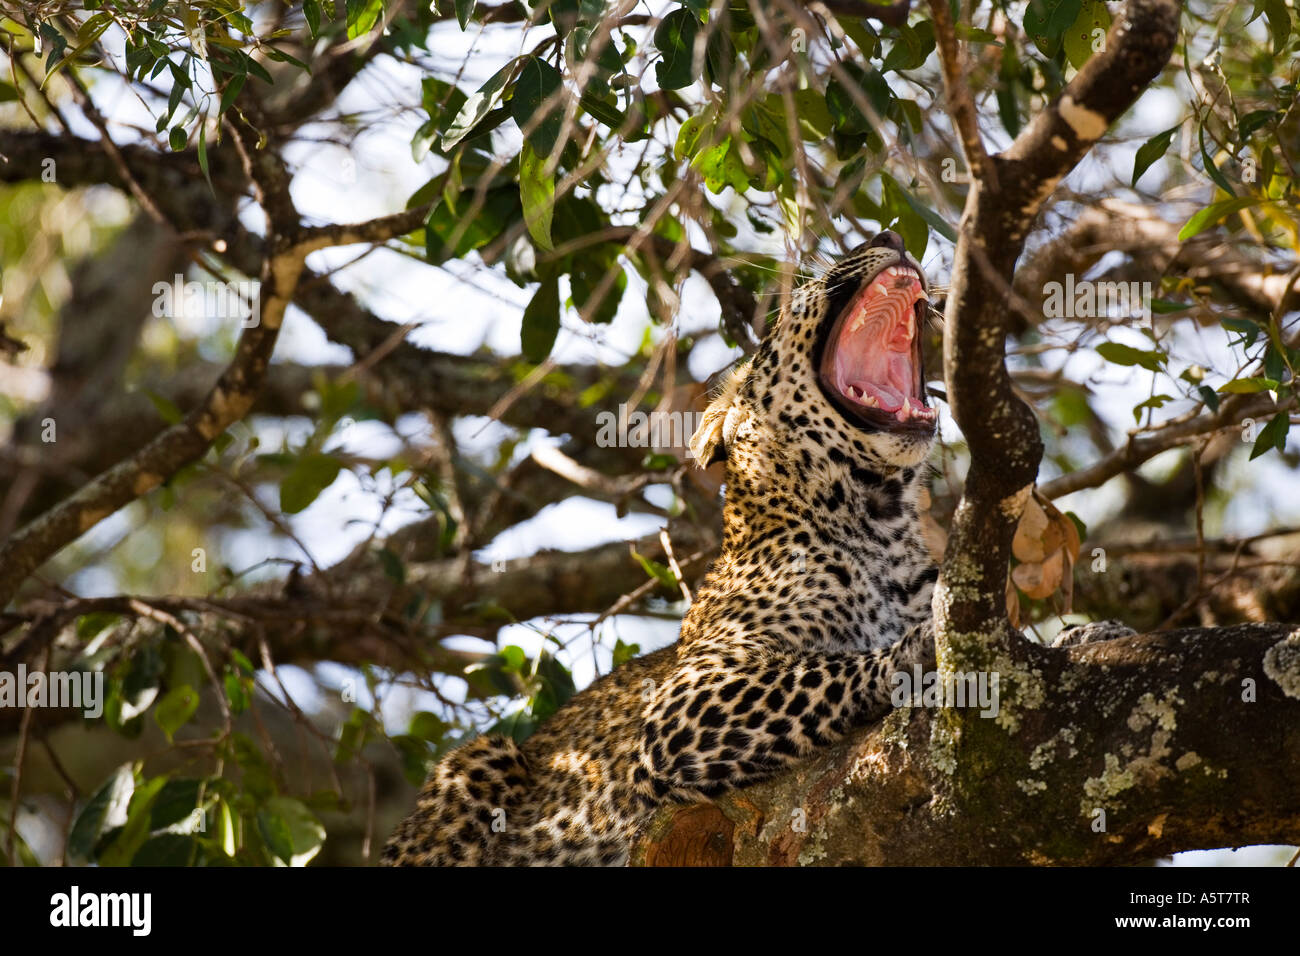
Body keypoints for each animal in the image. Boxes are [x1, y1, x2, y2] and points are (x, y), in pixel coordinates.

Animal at [381, 230, 1129, 866]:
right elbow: (820, 672)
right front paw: (921, 651)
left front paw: (1088, 633)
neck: (879, 526)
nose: (888, 235)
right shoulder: (687, 698)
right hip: (482, 759)